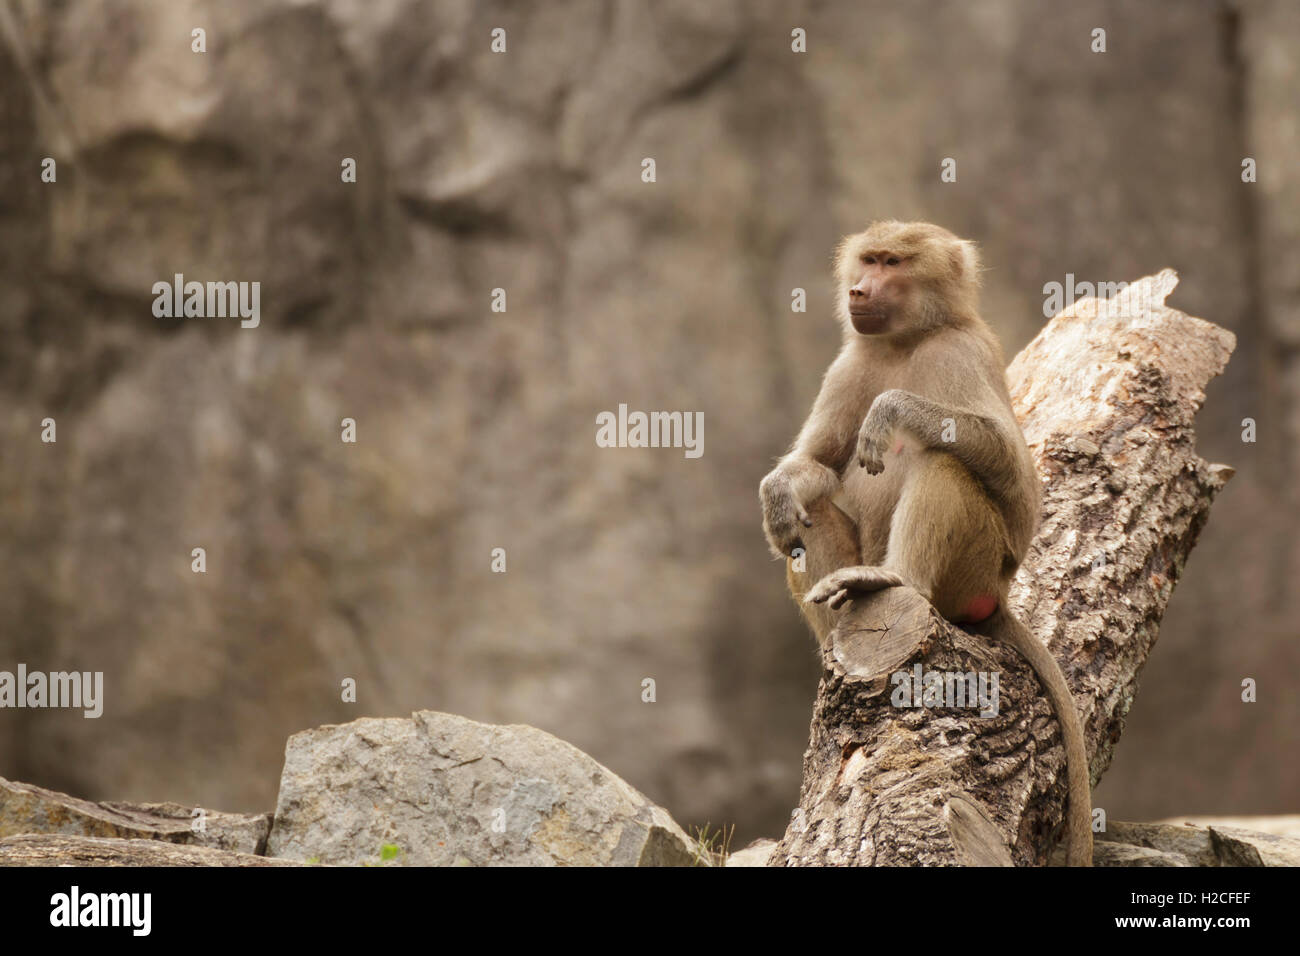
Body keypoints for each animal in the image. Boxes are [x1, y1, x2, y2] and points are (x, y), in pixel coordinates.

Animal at [759, 221, 1092, 867]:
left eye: (892, 263)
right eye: (867, 260)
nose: (858, 290)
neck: (905, 341)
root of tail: (999, 595)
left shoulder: (963, 352)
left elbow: (1013, 476)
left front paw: (891, 410)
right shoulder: (848, 364)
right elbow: (816, 467)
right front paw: (777, 490)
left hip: (977, 569)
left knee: (943, 462)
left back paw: (893, 580)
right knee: (806, 520)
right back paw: (836, 627)